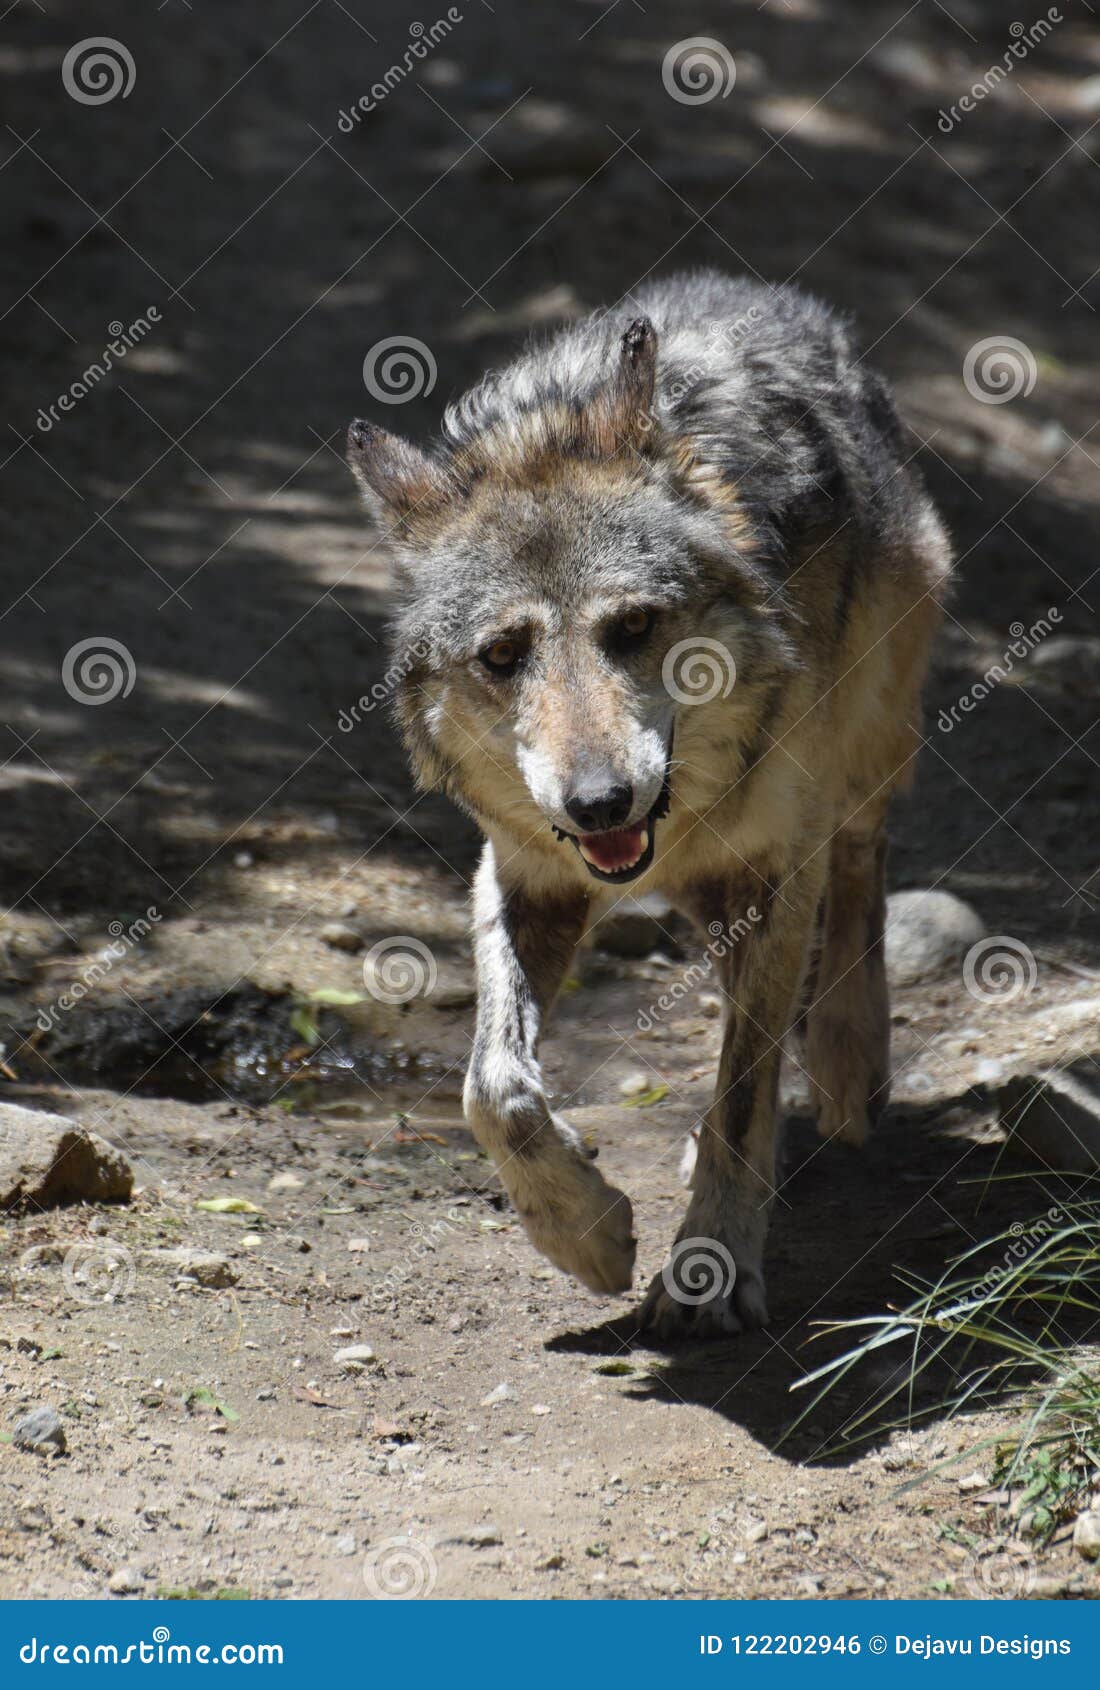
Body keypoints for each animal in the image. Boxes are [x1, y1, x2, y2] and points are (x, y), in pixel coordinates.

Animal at [346, 270, 951, 1340]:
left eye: (632, 627)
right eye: (503, 655)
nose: (598, 803)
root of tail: (763, 293)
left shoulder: (772, 874)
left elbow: (741, 1094)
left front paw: (710, 1265)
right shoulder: (524, 873)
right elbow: (492, 1091)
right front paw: (584, 1234)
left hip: (871, 736)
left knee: (859, 861)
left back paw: (847, 1060)